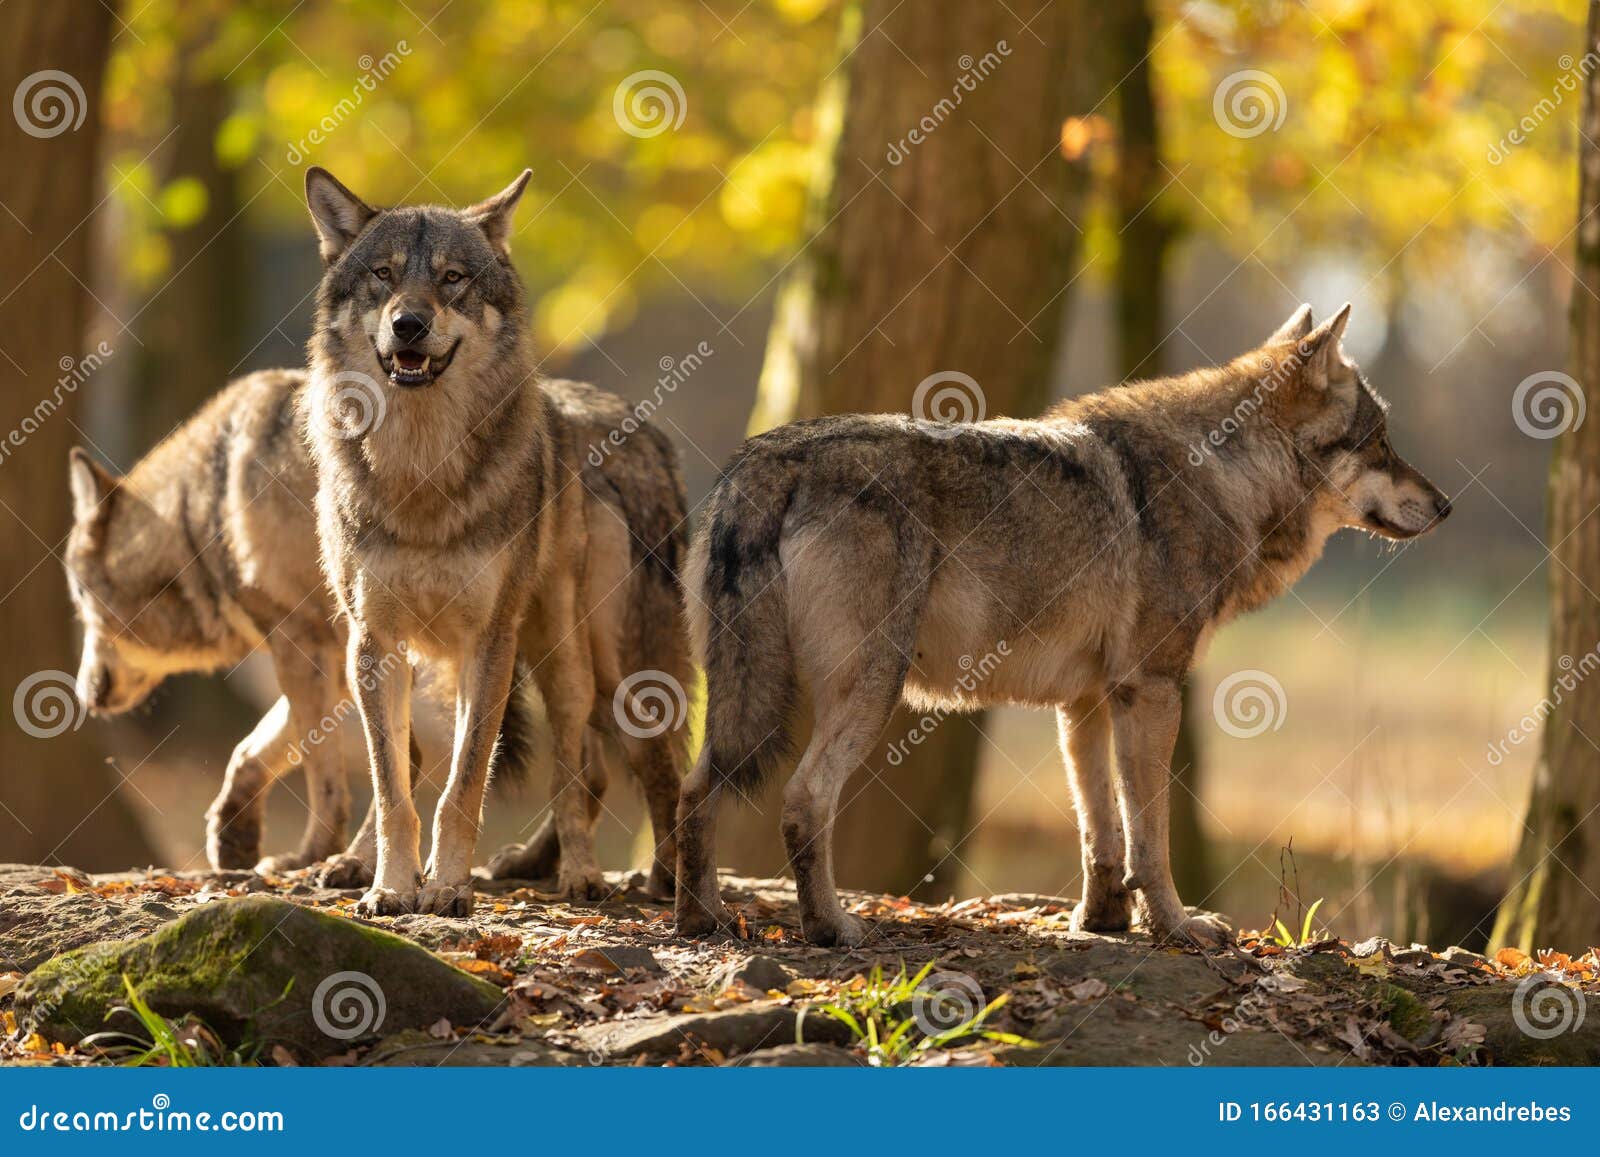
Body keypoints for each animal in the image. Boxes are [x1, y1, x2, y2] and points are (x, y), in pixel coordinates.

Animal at [65, 367, 686, 893]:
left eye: (80, 598)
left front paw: (317, 854)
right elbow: (259, 747)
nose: (84, 694)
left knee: (644, 759)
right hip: (536, 655)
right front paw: (239, 836)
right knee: (592, 769)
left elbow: (327, 768)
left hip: (581, 659)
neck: (205, 505)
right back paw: (532, 863)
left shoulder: (304, 645)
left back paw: (661, 880)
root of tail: (641, 434)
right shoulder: (340, 648)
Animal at [301, 167, 690, 915]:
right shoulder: (374, 640)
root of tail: (641, 425)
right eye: (384, 275)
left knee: (618, 768)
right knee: (577, 769)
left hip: (586, 659)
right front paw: (392, 887)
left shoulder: (488, 640)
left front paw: (449, 887)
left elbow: (464, 783)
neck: (420, 473)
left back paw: (629, 878)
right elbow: (395, 786)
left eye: (453, 278)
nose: (409, 324)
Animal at [675, 303, 1451, 947]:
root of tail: (764, 458)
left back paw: (701, 919)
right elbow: (1150, 838)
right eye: (1380, 442)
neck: (1223, 476)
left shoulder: (1086, 705)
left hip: (744, 703)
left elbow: (1099, 834)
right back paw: (830, 927)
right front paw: (1176, 928)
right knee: (803, 799)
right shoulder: (1151, 691)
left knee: (691, 789)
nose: (1446, 505)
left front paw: (1101, 921)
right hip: (868, 690)